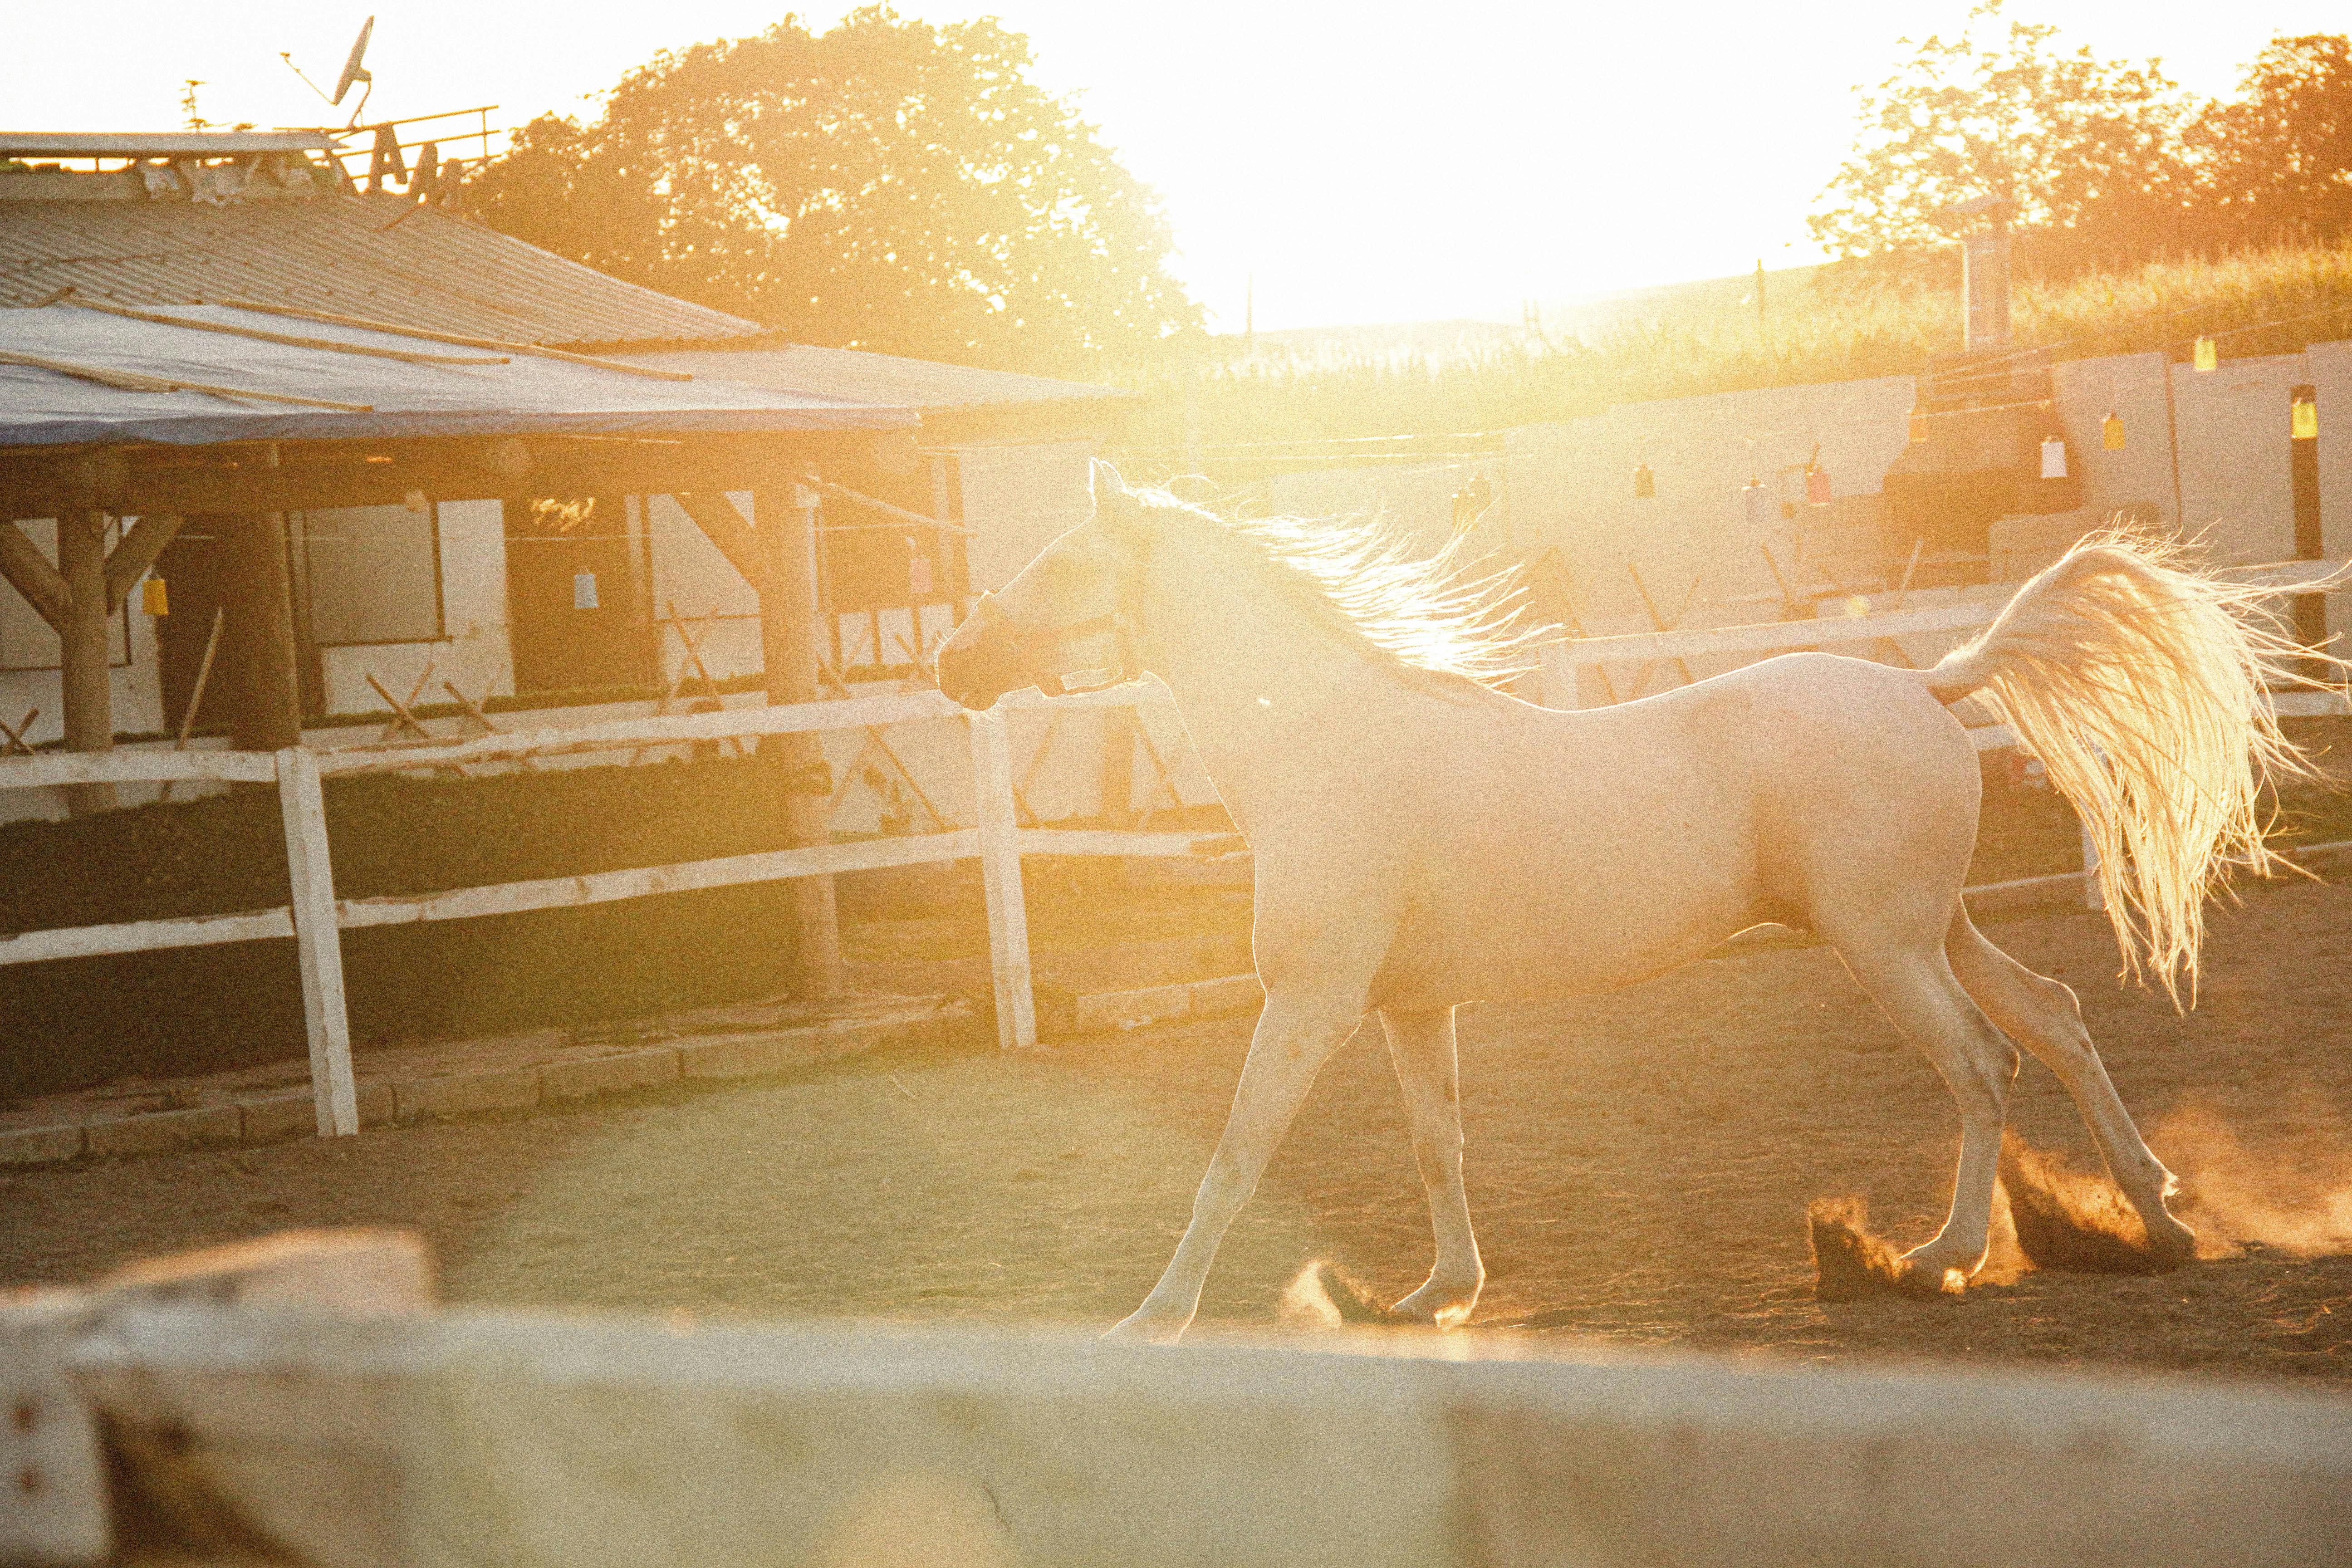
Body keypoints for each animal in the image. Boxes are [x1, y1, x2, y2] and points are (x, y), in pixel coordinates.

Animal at [935, 462, 2320, 1344]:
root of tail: (1929, 682)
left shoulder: (1311, 1005)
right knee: (2059, 1015)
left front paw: (1153, 1315)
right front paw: (1440, 1294)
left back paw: (1945, 1257)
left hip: (1884, 947)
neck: (1323, 750)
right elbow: (1438, 1145)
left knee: (1985, 1065)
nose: (951, 662)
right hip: (1940, 929)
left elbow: (1232, 1155)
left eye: (1060, 562)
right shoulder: (1408, 1008)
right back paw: (2156, 1219)